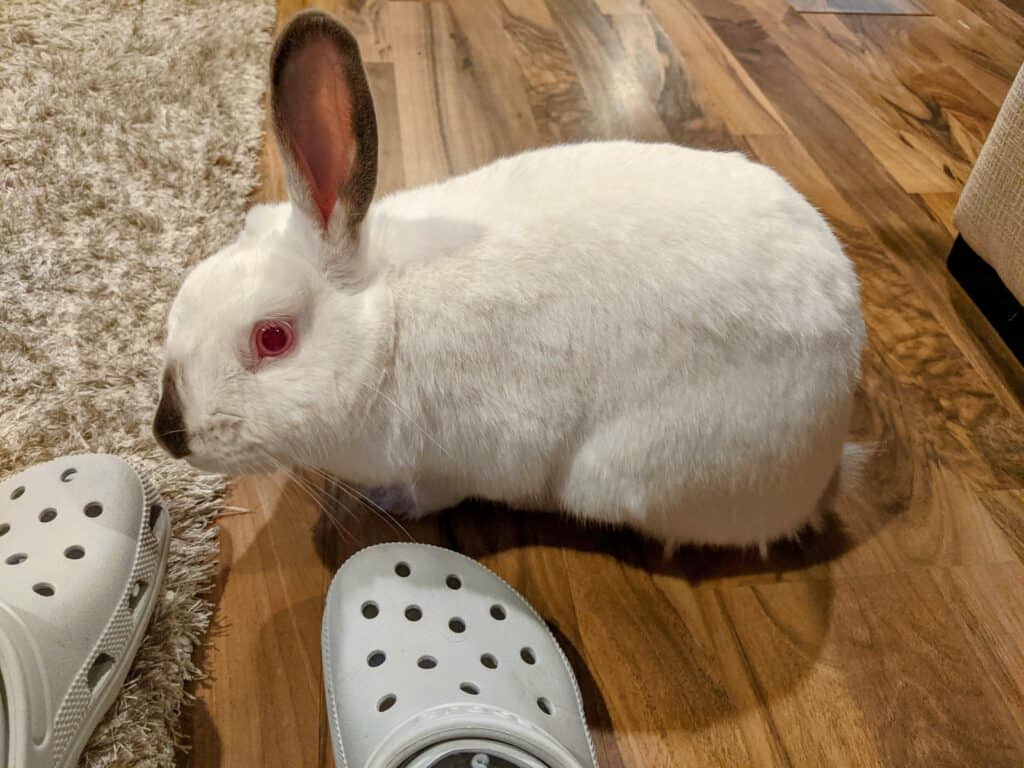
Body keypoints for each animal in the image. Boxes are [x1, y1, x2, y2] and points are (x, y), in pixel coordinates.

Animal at [154, 10, 865, 551]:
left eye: (272, 338)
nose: (168, 431)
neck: (388, 331)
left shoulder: (468, 455)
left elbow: (438, 488)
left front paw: (393, 500)